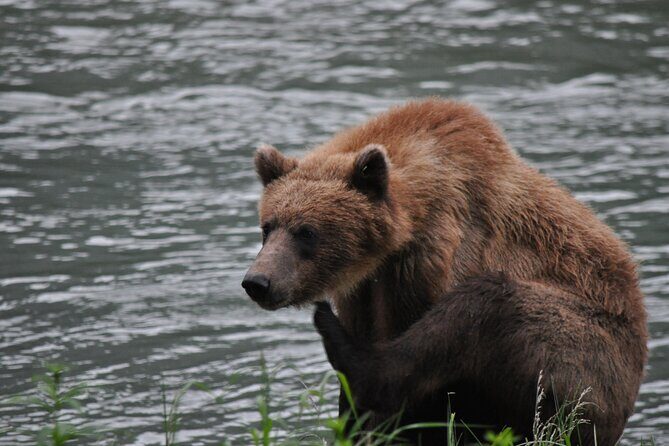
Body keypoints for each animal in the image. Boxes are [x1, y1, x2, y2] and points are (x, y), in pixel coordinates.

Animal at [241, 98, 647, 445]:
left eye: (307, 231)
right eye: (267, 227)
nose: (257, 282)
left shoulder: (431, 257)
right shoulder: (363, 289)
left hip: (589, 354)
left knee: (487, 307)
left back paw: (333, 332)